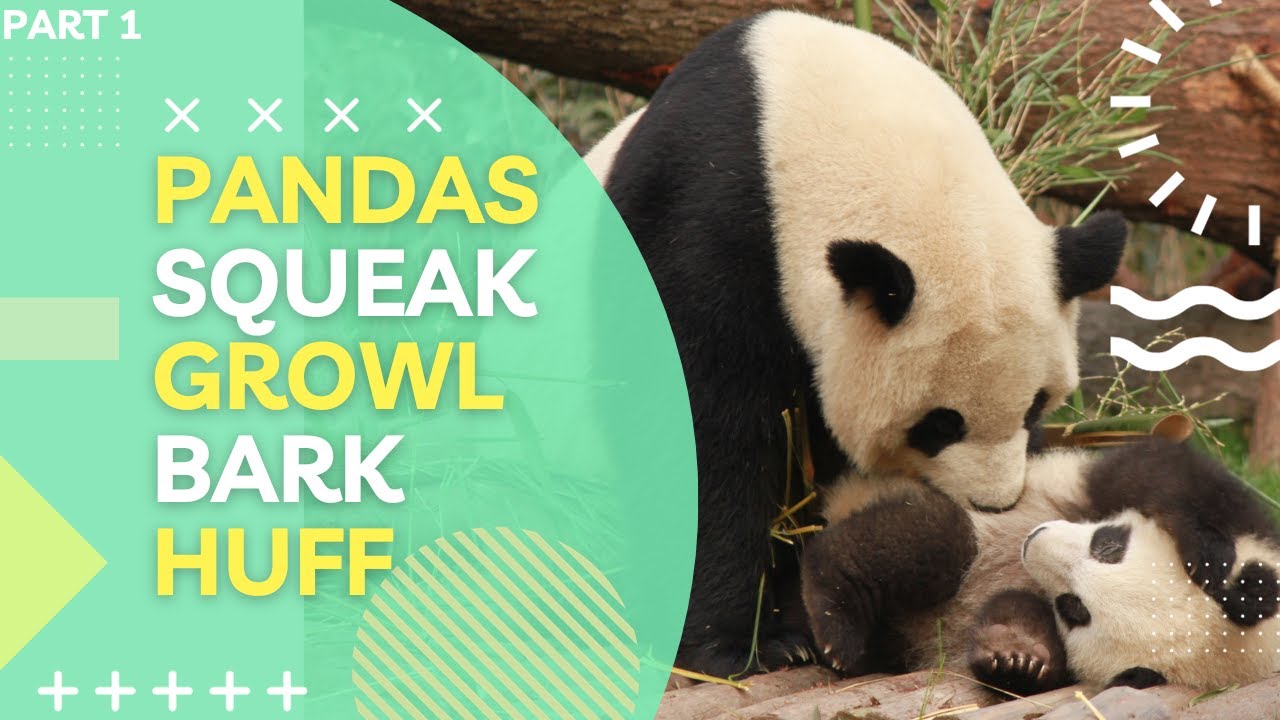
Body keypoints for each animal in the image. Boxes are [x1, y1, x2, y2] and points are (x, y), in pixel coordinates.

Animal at [585, 9, 1126, 676]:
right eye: (939, 424)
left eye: (1035, 406)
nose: (994, 503)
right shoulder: (700, 219)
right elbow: (698, 433)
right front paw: (737, 648)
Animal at [802, 439, 1280, 693]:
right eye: (1109, 546)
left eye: (1074, 608)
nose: (1034, 543)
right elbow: (1162, 472)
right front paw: (1206, 549)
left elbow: (1020, 618)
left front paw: (1016, 656)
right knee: (931, 540)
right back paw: (833, 622)